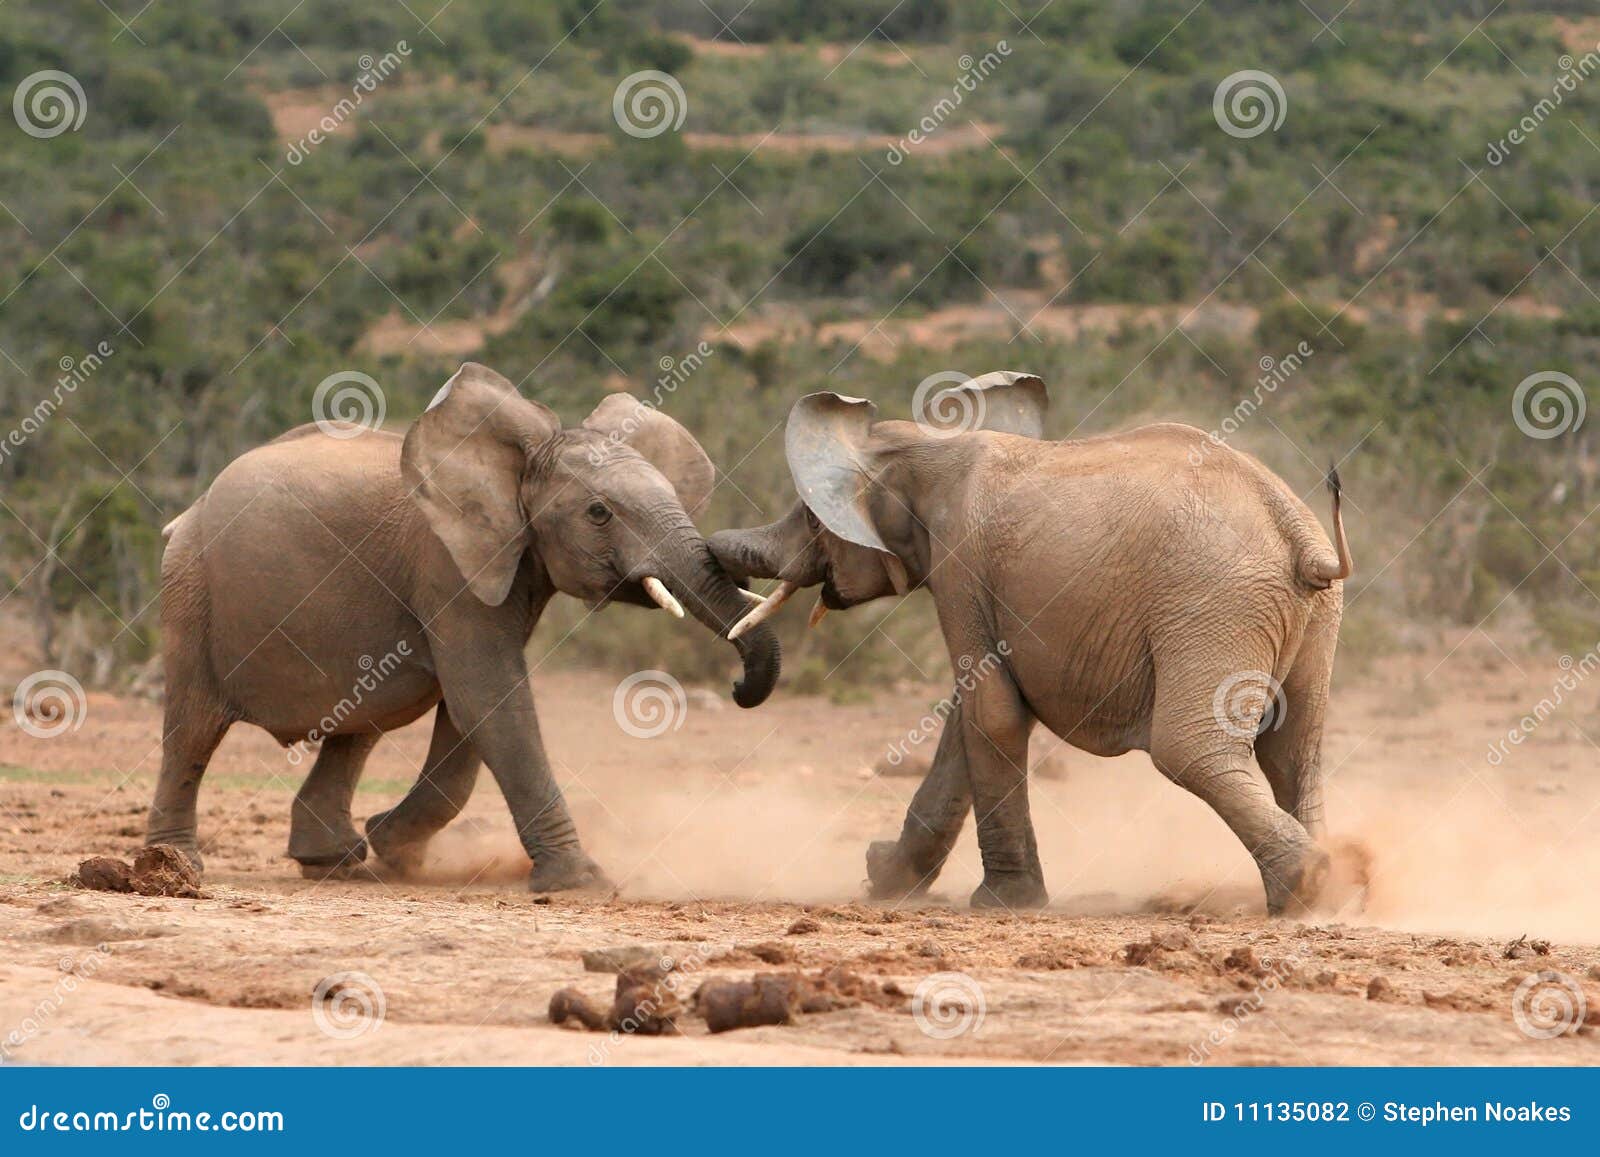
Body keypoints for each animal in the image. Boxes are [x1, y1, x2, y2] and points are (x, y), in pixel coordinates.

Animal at [145, 362, 781, 892]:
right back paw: (175, 866)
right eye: (599, 513)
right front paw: (582, 882)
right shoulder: (446, 565)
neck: (521, 461)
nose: (736, 687)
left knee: (359, 721)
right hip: (191, 592)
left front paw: (394, 849)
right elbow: (488, 697)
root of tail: (187, 513)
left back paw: (334, 858)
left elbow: (470, 709)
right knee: (193, 728)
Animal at [708, 371, 1350, 914]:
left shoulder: (960, 563)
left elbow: (990, 711)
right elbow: (966, 713)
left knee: (1189, 749)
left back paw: (1314, 883)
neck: (922, 447)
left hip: (1214, 602)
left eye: (811, 517)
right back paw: (1334, 889)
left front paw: (1001, 903)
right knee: (1294, 746)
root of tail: (1299, 536)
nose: (737, 685)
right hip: (1305, 614)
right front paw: (885, 879)